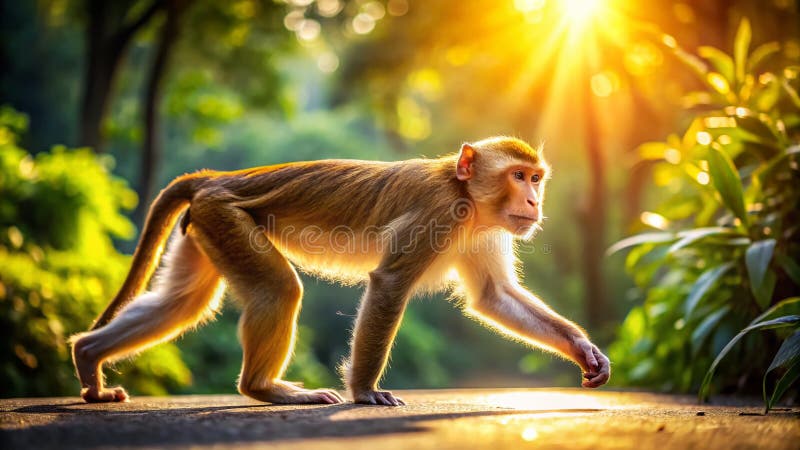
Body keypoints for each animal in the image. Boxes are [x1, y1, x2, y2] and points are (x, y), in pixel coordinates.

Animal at [70, 136, 610, 406]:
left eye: (536, 177)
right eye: (518, 176)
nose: (534, 201)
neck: (467, 197)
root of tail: (216, 178)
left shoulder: (485, 229)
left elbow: (493, 295)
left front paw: (584, 350)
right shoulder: (438, 212)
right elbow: (390, 284)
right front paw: (366, 392)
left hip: (205, 225)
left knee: (182, 303)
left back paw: (88, 357)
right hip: (227, 218)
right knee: (277, 290)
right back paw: (263, 389)